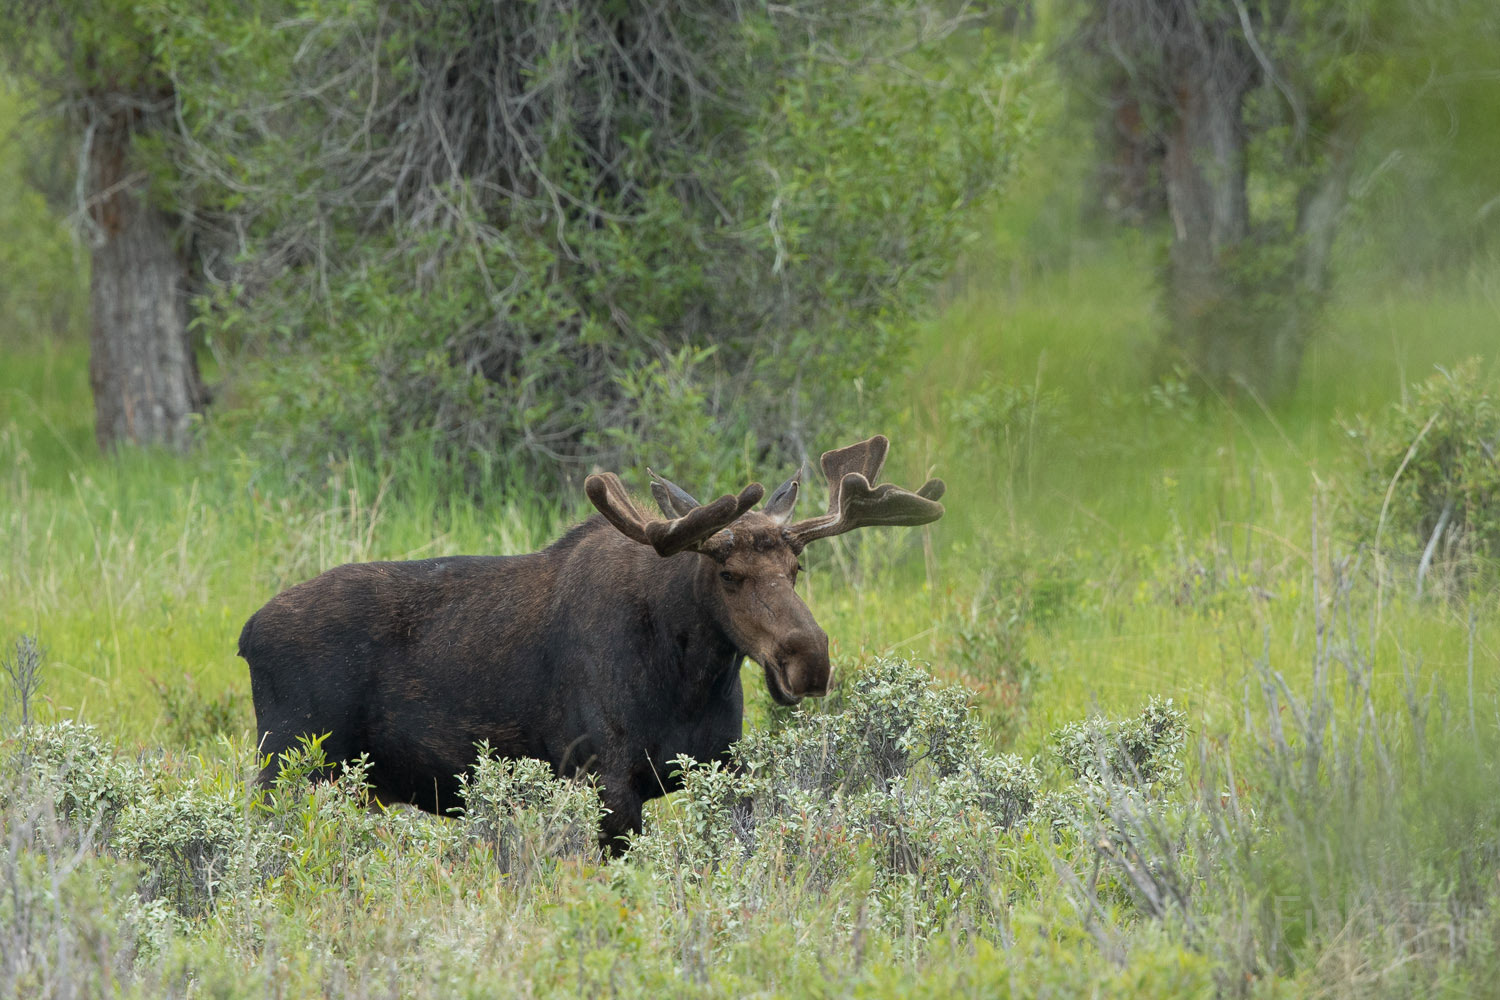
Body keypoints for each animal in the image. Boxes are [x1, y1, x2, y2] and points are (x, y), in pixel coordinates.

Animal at [239, 435, 944, 851]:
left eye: (797, 569)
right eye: (728, 575)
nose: (810, 660)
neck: (690, 679)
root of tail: (247, 635)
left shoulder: (723, 767)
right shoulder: (605, 778)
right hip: (286, 761)